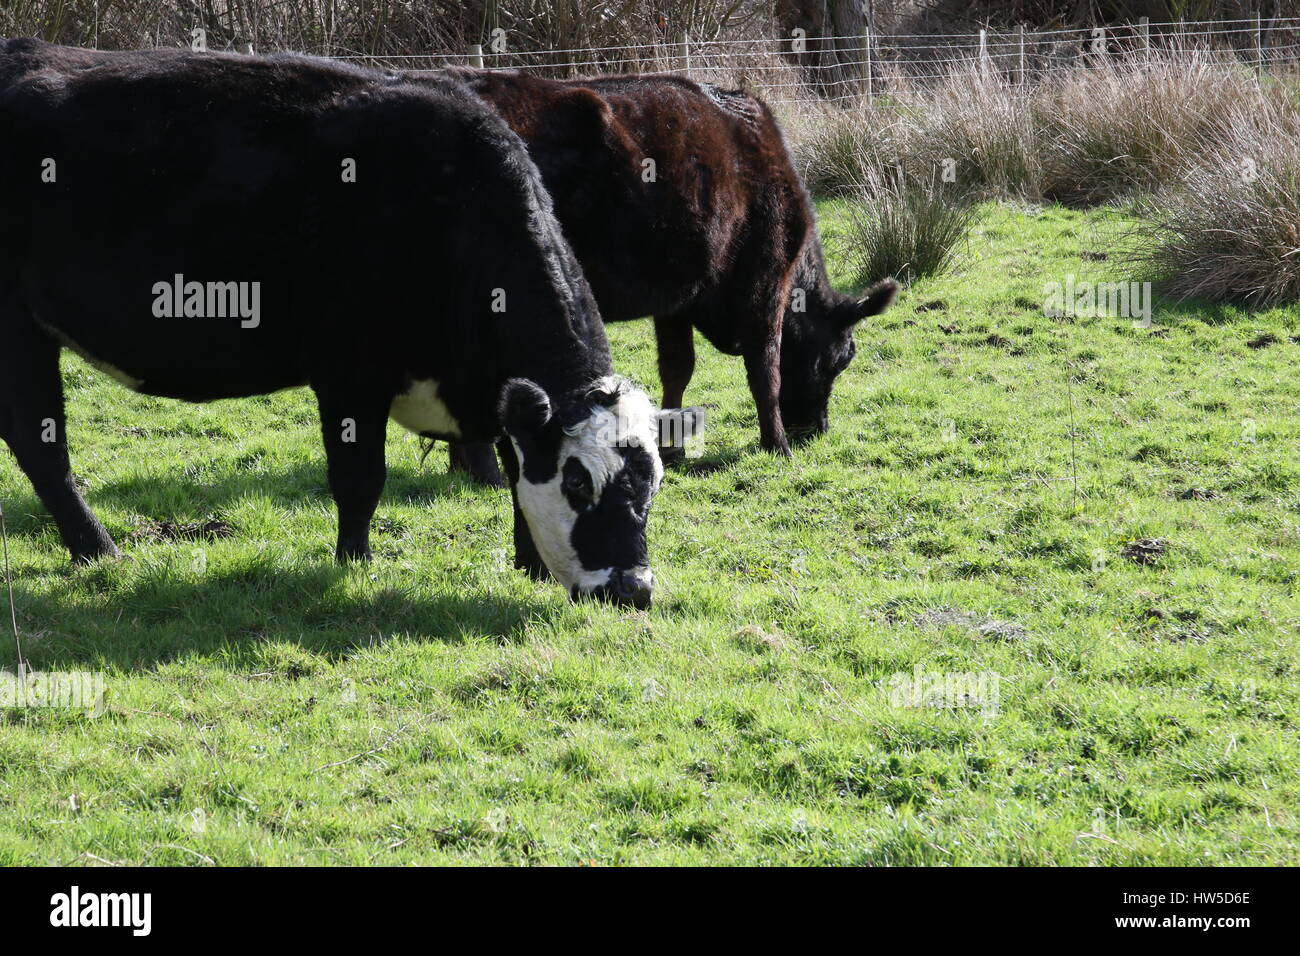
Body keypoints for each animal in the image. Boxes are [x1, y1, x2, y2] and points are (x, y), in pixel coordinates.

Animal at [0, 40, 689, 607]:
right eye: (577, 483)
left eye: (653, 485)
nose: (633, 590)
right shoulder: (349, 374)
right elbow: (360, 478)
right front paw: (354, 563)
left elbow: (513, 471)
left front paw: (531, 566)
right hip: (18, 328)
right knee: (41, 444)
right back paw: (98, 550)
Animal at [431, 69, 898, 484]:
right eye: (841, 359)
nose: (814, 430)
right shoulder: (764, 285)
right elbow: (765, 368)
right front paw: (775, 444)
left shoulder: (676, 298)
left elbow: (677, 367)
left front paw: (671, 448)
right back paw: (485, 473)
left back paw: (462, 468)